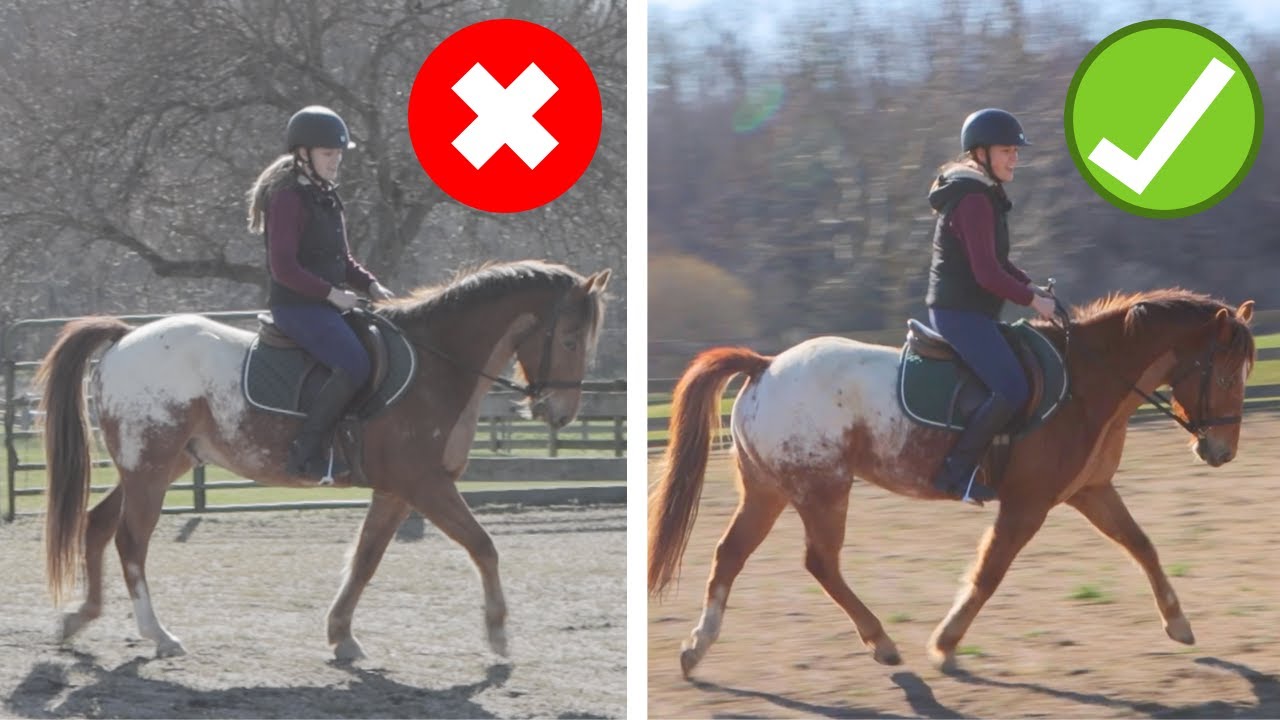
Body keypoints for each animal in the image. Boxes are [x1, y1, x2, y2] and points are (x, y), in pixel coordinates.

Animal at [38, 260, 611, 660]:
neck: (437, 365)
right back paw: (158, 635)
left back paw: (79, 618)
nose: (560, 413)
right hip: (151, 471)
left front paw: (341, 636)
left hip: (155, 469)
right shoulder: (425, 485)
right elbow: (483, 546)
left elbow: (365, 560)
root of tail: (124, 338)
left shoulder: (397, 491)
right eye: (568, 339)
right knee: (130, 542)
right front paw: (498, 635)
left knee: (96, 525)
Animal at [649, 288, 1255, 675]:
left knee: (730, 554)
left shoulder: (1090, 492)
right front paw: (944, 645)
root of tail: (766, 365)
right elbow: (989, 573)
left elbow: (1142, 545)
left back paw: (697, 648)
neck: (1087, 382)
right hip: (823, 491)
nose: (1222, 451)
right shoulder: (1028, 504)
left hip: (769, 492)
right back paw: (881, 641)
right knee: (819, 563)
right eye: (1227, 373)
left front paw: (1178, 623)